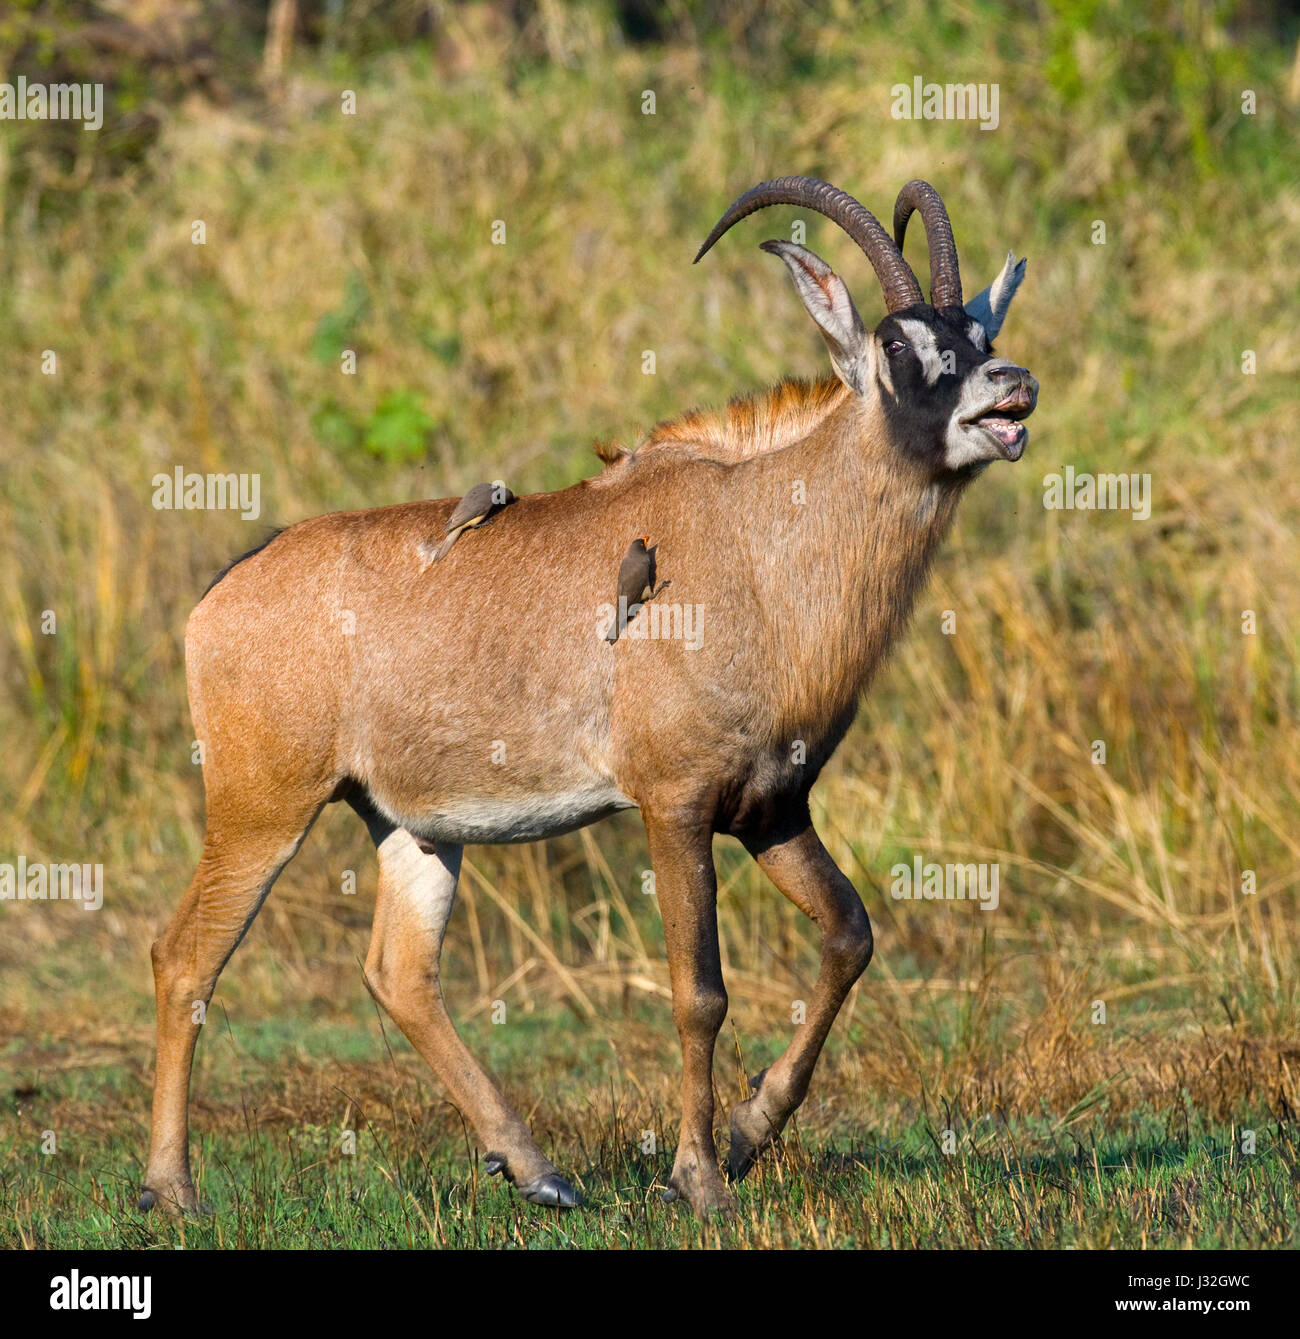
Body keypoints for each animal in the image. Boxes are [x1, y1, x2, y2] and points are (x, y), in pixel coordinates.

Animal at [140, 175, 1037, 1218]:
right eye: (898, 345)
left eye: (979, 329)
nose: (1013, 386)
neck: (763, 540)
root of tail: (222, 592)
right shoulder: (675, 803)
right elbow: (700, 991)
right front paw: (699, 1180)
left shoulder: (771, 808)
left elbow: (851, 934)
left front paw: (746, 1134)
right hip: (262, 806)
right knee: (185, 956)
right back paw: (173, 1189)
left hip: (409, 824)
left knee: (400, 972)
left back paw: (537, 1169)